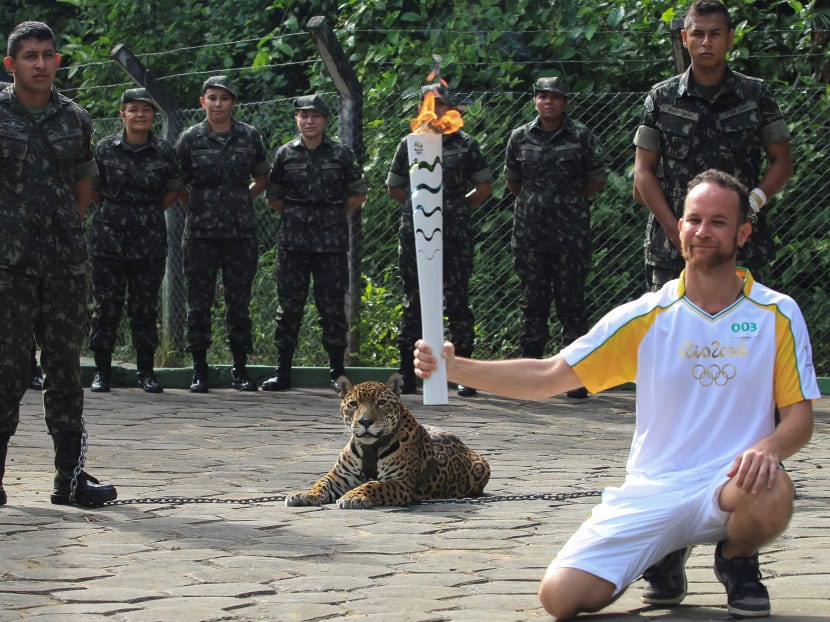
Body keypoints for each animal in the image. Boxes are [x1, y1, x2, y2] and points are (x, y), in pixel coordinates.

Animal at [285, 373, 490, 509]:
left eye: (381, 402)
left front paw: (353, 496)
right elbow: (321, 482)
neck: (370, 448)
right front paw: (305, 494)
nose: (365, 421)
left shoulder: (400, 481)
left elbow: (373, 485)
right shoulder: (340, 475)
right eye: (353, 404)